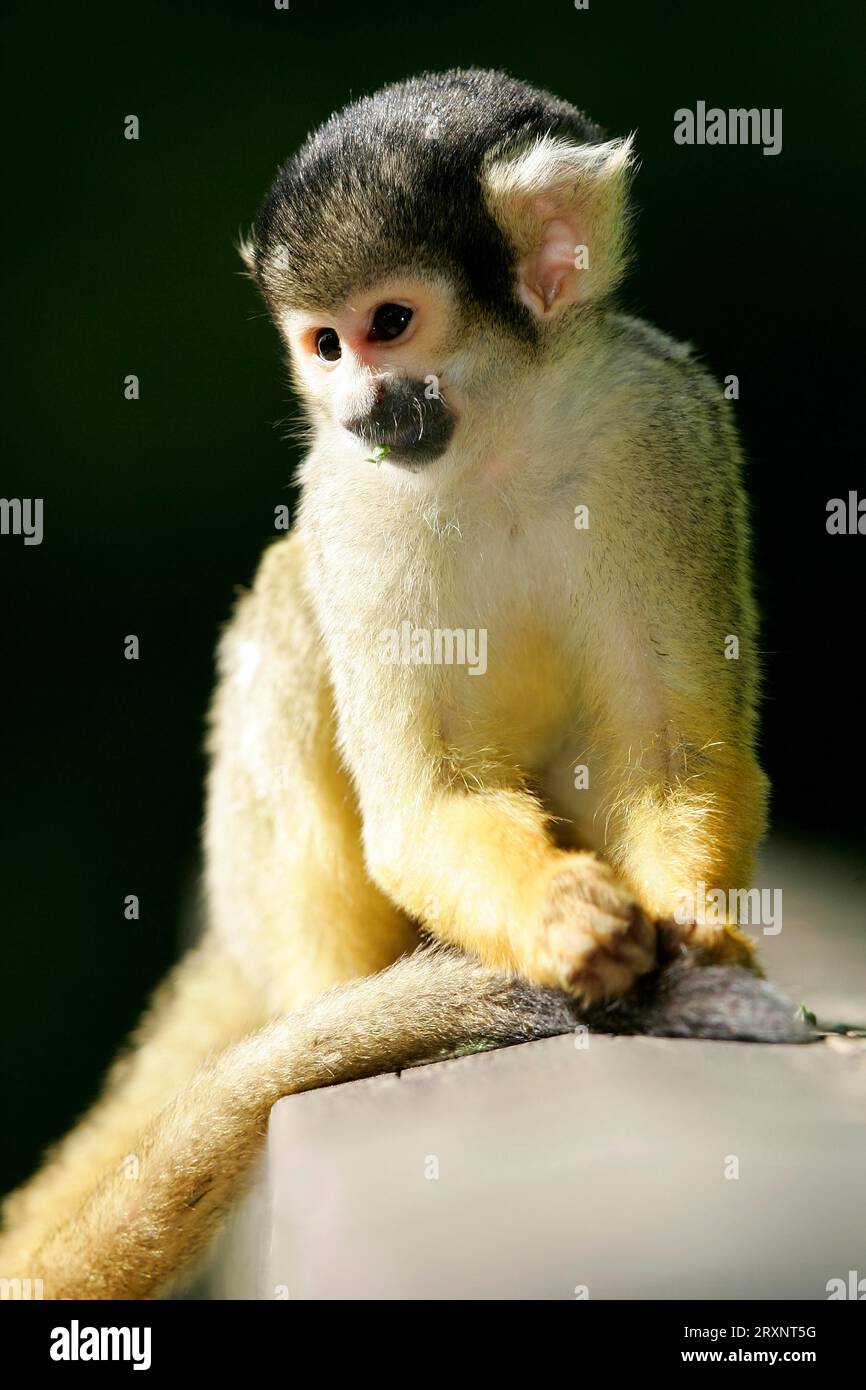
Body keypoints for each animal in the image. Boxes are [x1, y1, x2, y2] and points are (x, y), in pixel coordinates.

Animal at [0, 69, 812, 1302]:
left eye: (391, 324)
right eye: (324, 344)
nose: (354, 406)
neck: (503, 437)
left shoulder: (660, 429)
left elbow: (676, 750)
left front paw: (697, 921)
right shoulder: (353, 498)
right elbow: (422, 804)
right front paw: (565, 922)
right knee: (291, 612)